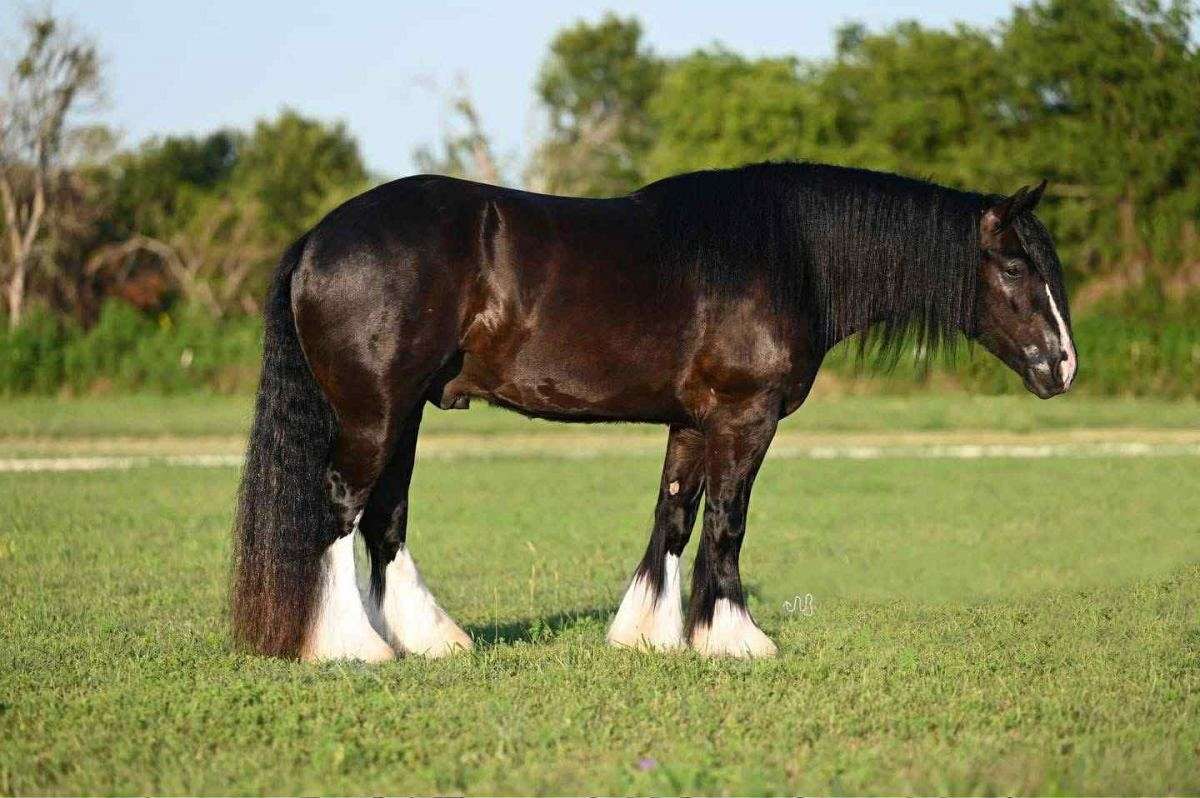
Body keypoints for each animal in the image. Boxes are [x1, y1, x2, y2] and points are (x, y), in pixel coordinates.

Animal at [231, 161, 1077, 661]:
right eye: (1013, 267)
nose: (1062, 366)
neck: (791, 252)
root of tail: (315, 239)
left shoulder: (694, 422)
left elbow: (674, 515)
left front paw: (647, 633)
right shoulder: (745, 417)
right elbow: (729, 522)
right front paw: (735, 637)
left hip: (404, 412)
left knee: (385, 519)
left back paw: (432, 639)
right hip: (374, 412)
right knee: (342, 509)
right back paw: (350, 647)